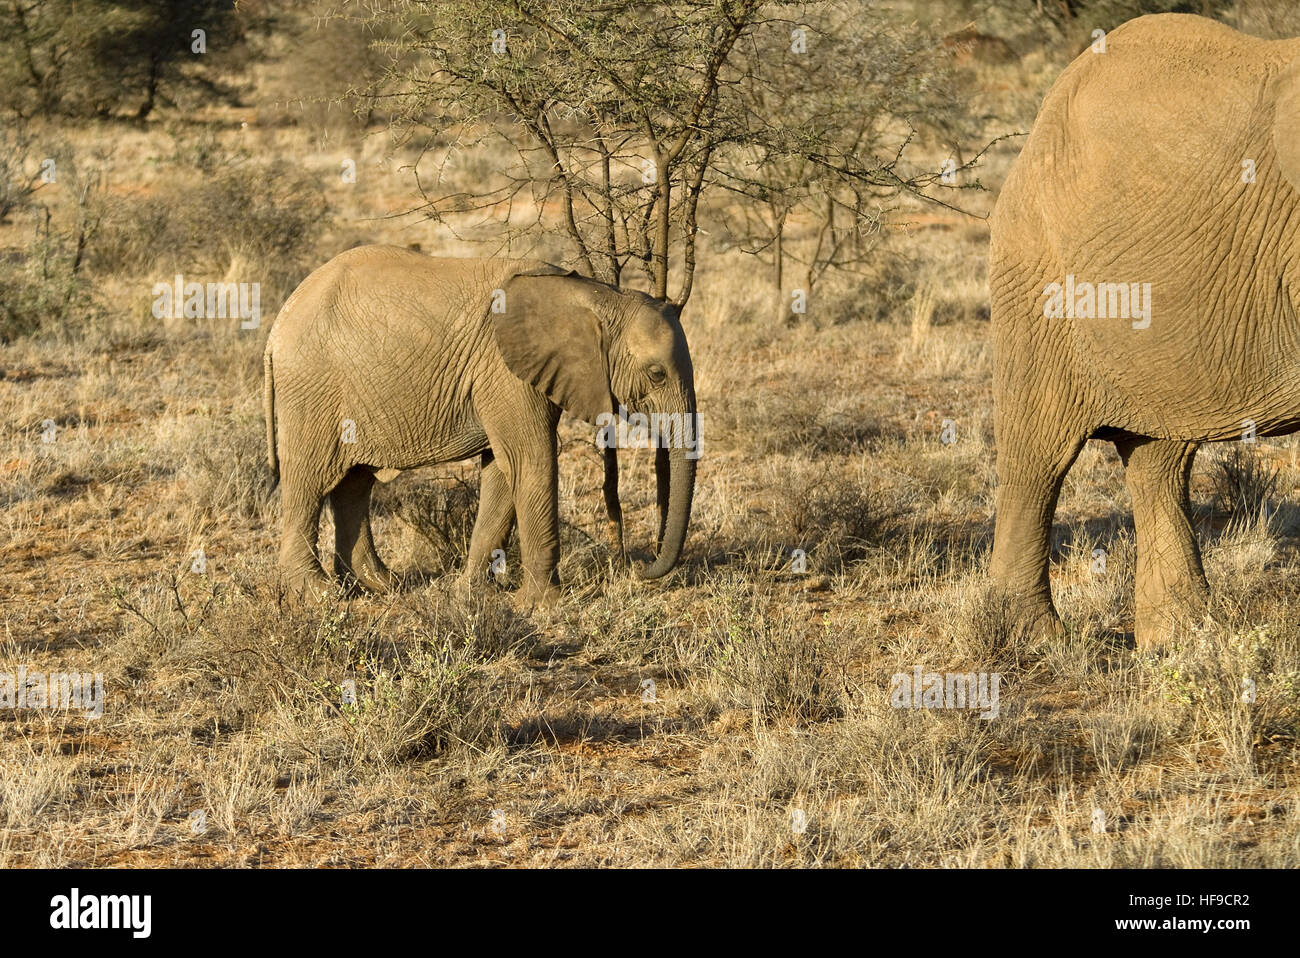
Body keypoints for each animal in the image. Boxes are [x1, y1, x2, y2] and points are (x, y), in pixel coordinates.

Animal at [262, 246, 698, 603]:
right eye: (657, 374)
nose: (640, 567)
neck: (597, 296)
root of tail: (279, 323)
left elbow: (504, 471)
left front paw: (470, 594)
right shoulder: (505, 372)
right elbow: (532, 462)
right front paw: (544, 605)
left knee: (353, 484)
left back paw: (381, 585)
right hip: (312, 389)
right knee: (308, 481)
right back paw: (319, 595)